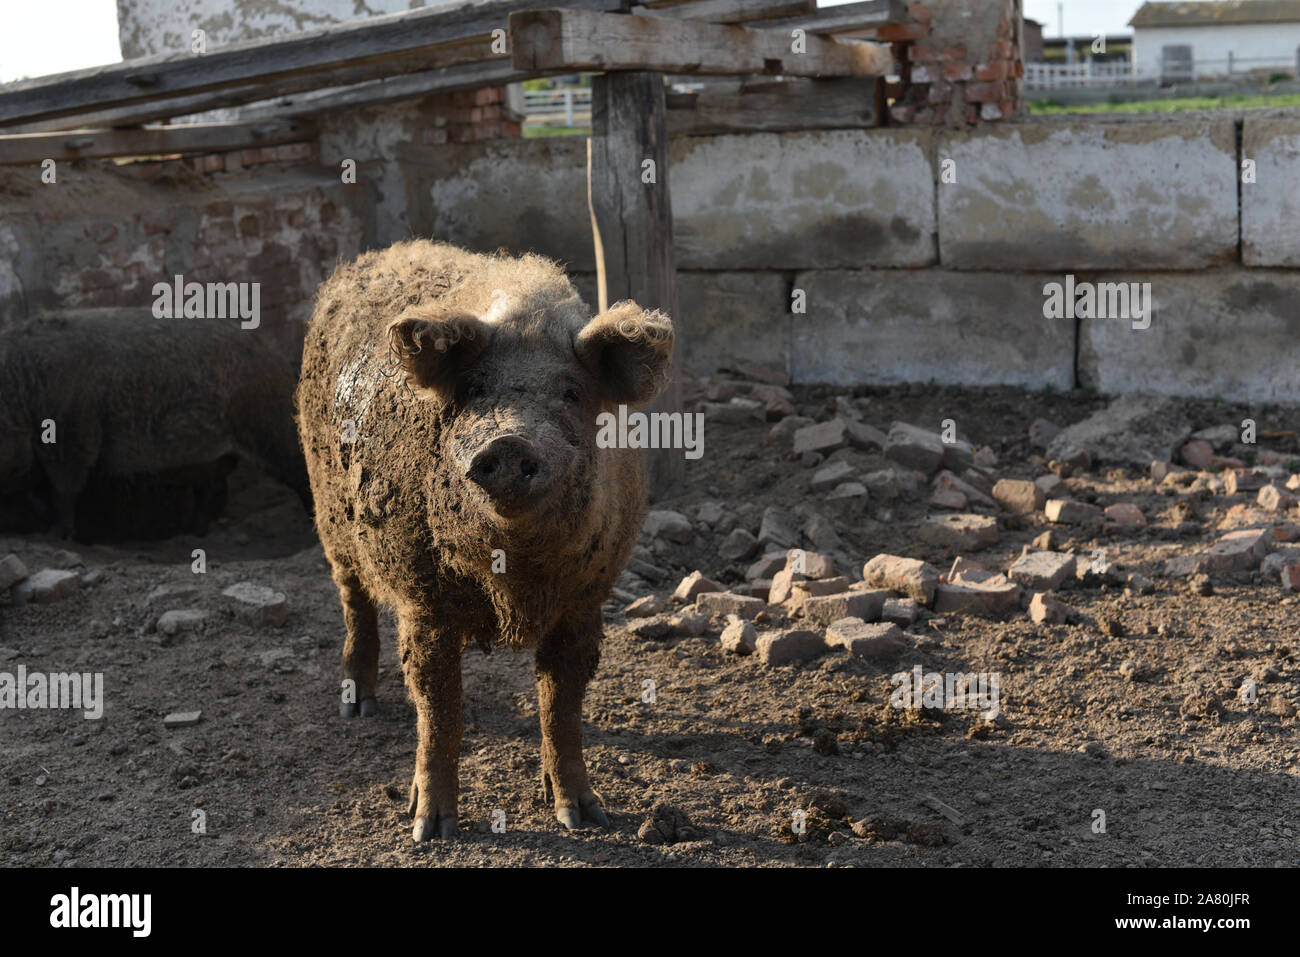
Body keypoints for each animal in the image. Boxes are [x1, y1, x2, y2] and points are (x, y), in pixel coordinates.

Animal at [0, 314, 310, 538]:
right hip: (211, 456)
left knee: (299, 468)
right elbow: (40, 492)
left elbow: (65, 489)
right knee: (212, 487)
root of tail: (277, 357)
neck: (21, 395)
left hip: (268, 422)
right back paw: (191, 534)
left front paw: (56, 535)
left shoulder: (72, 435)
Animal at [295, 240, 673, 840]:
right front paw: (430, 830)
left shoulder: (586, 601)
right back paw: (359, 709)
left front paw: (584, 817)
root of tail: (368, 260)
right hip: (329, 514)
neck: (512, 577)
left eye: (571, 392)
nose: (509, 441)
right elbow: (438, 709)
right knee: (354, 601)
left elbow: (561, 707)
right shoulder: (424, 603)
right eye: (474, 390)